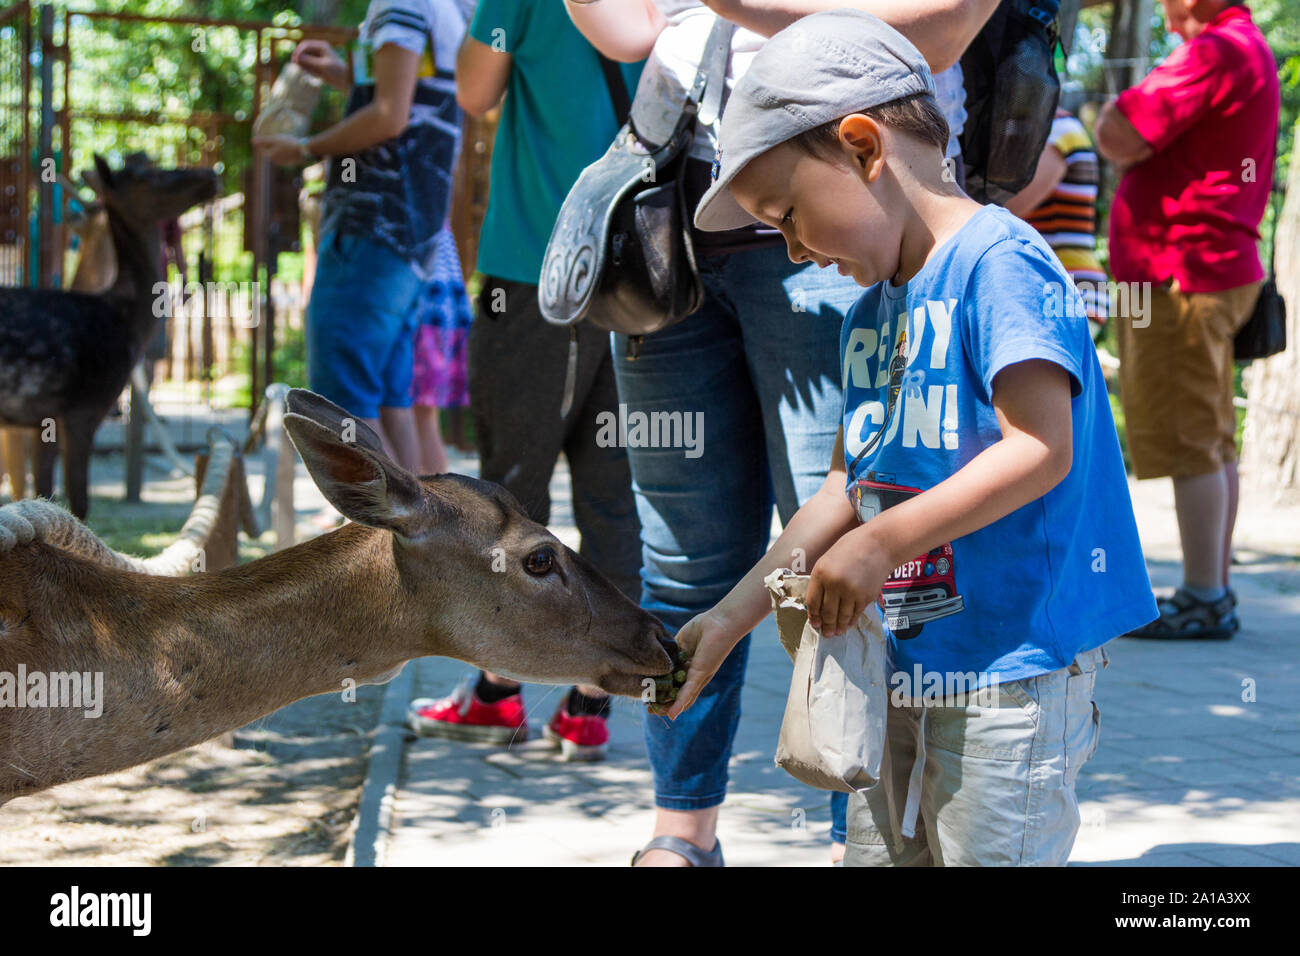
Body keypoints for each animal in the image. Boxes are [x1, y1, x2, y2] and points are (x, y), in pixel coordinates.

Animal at [0, 154, 219, 520]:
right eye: (147, 175)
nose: (211, 175)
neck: (123, 315)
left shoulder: (43, 417)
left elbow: (42, 493)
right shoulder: (84, 407)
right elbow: (79, 504)